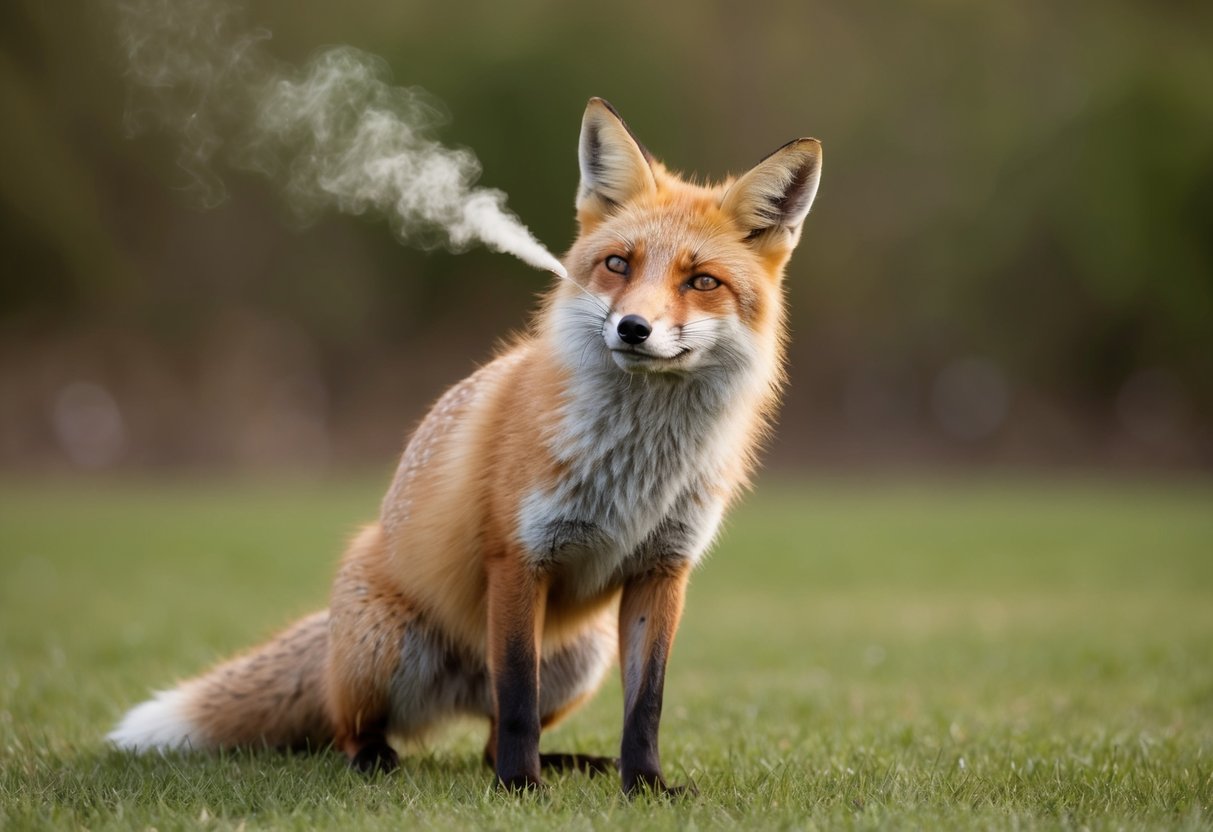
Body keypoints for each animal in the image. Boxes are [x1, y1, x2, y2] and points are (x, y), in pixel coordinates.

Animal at [109, 97, 822, 795]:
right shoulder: (517, 557)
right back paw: (382, 761)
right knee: (360, 728)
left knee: (484, 736)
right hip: (383, 644)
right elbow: (517, 693)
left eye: (701, 281)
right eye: (618, 264)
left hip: (583, 653)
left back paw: (571, 765)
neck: (639, 463)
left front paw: (644, 786)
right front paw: (519, 788)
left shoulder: (663, 569)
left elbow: (645, 704)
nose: (633, 327)